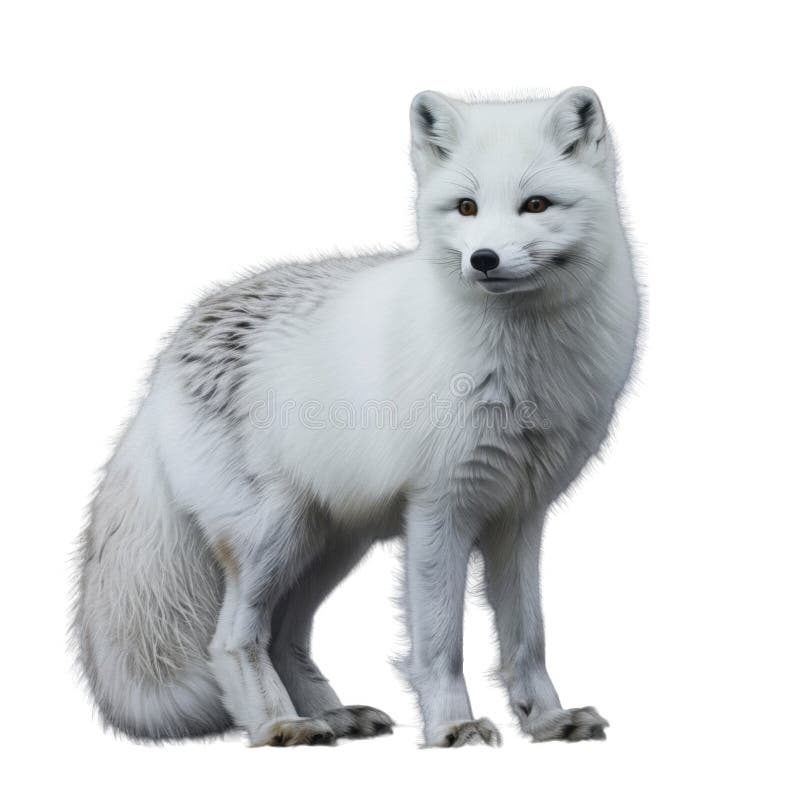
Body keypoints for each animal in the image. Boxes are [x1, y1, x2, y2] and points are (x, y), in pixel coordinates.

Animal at [72, 87, 640, 748]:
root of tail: (168, 354)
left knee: (284, 637)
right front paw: (453, 726)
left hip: (328, 546)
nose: (484, 259)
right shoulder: (439, 507)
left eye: (536, 205)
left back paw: (331, 716)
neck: (523, 365)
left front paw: (546, 719)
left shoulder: (521, 514)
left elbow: (528, 637)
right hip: (274, 534)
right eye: (467, 207)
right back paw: (281, 725)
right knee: (233, 637)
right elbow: (441, 643)